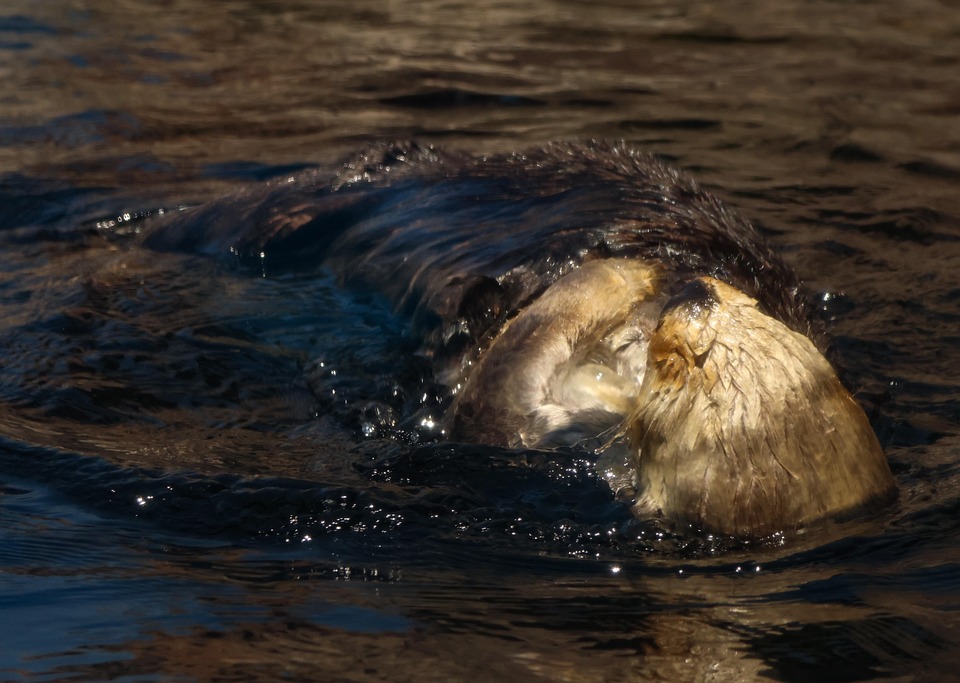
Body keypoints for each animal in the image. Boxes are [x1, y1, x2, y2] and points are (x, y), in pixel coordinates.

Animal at [141, 140, 896, 537]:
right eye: (748, 315)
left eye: (680, 369)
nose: (691, 291)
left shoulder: (526, 421)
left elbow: (511, 369)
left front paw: (607, 277)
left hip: (281, 214)